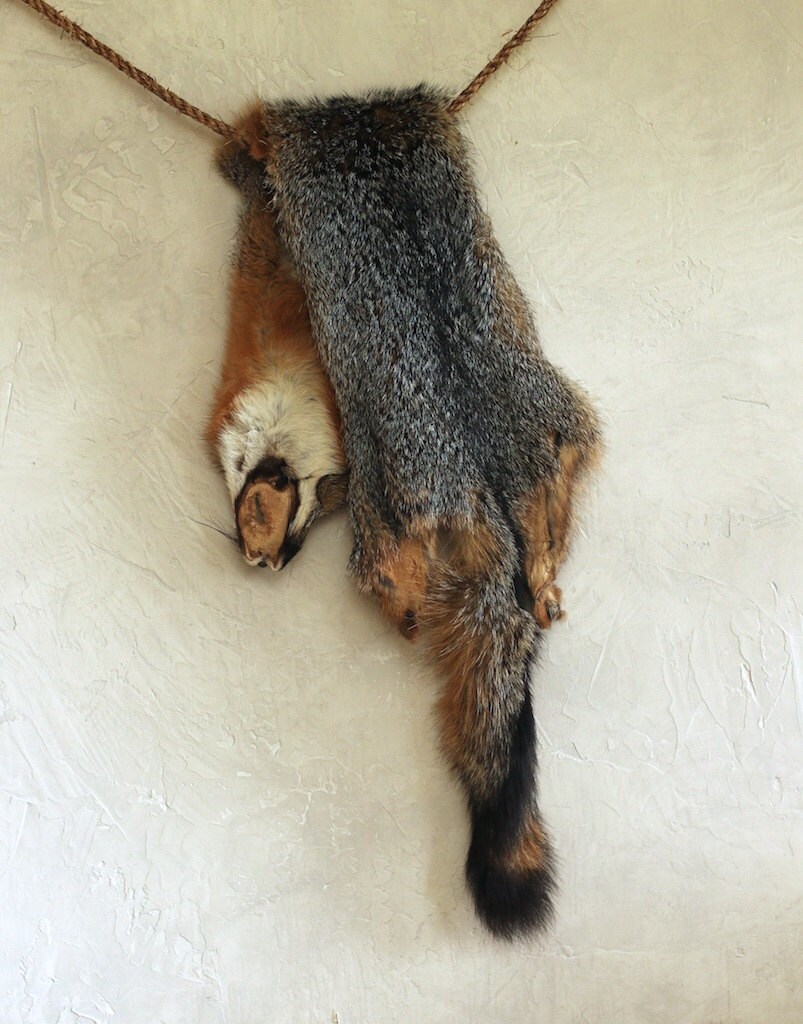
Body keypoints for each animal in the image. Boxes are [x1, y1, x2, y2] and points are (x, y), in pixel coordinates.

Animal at [224, 87, 602, 938]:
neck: (369, 133)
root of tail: (470, 468)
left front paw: (237, 151)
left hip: (379, 519)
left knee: (381, 579)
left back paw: (401, 614)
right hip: (554, 434)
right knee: (546, 534)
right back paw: (542, 580)